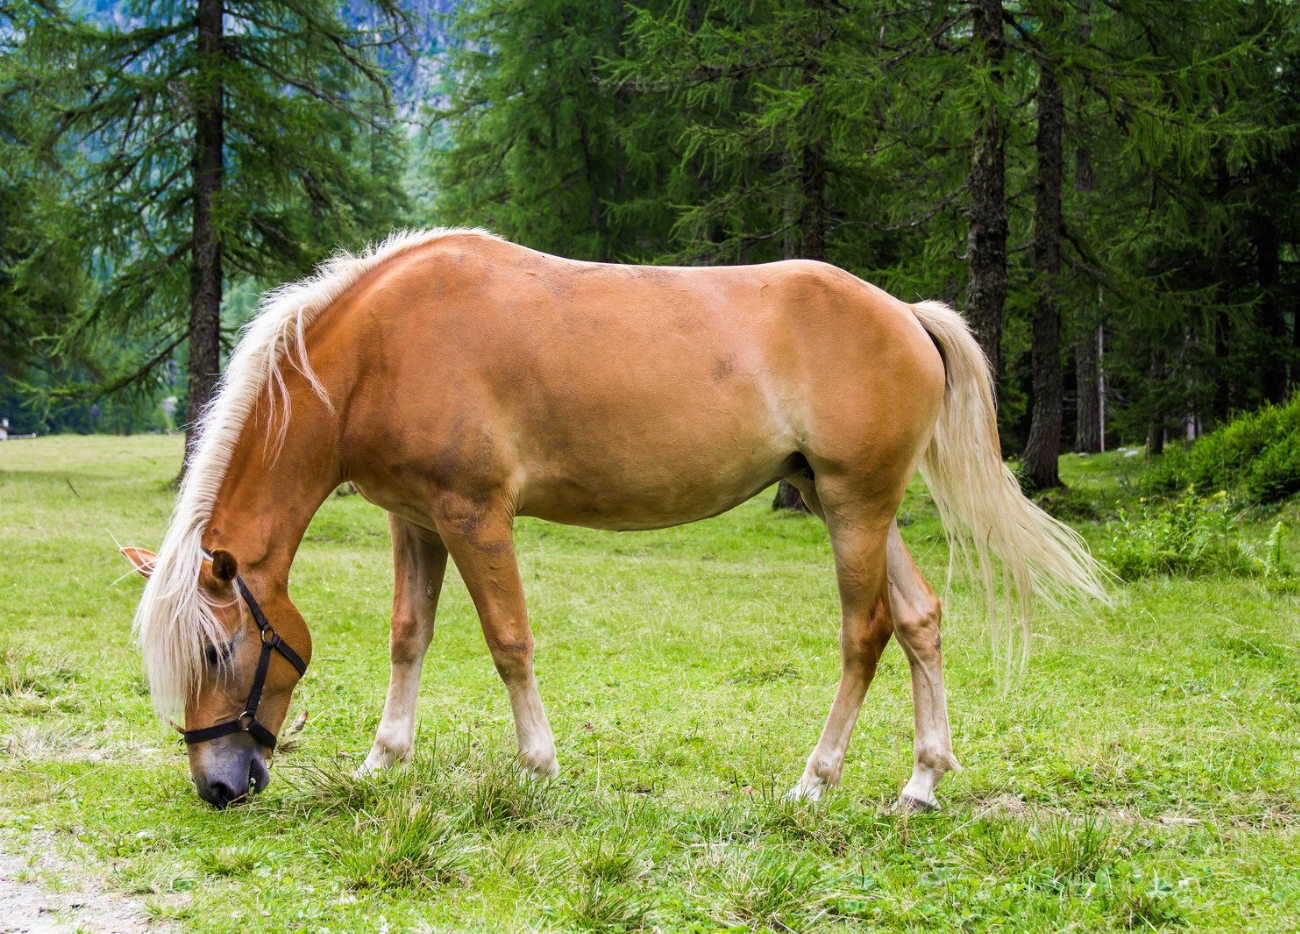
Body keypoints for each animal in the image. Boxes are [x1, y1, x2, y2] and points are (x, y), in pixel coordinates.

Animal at [122, 228, 1107, 808]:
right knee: (920, 620)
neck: (379, 351)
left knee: (864, 633)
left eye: (218, 652)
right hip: (854, 502)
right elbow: (408, 636)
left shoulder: (475, 517)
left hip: (854, 506)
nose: (218, 786)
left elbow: (508, 641)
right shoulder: (417, 523)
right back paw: (921, 782)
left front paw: (539, 767)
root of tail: (903, 311)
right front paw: (383, 760)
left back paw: (815, 780)